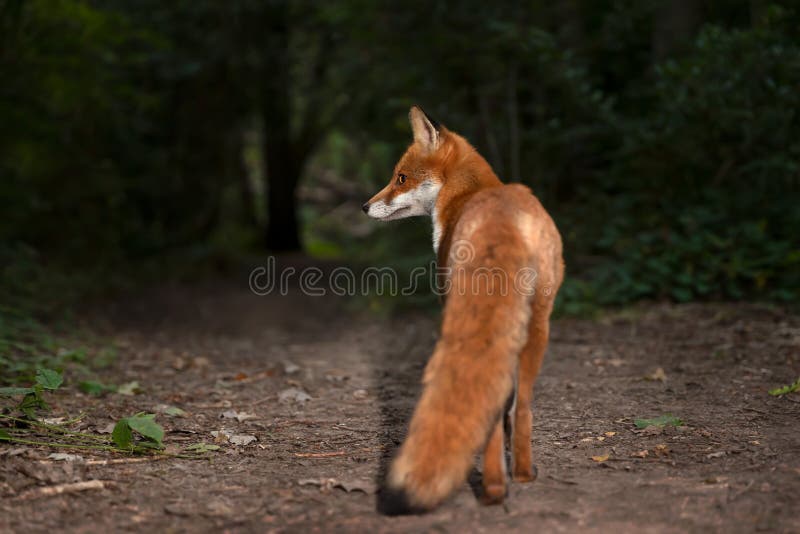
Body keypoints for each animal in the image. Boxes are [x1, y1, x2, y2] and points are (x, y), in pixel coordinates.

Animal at [362, 106, 564, 514]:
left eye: (400, 178)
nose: (364, 206)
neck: (469, 194)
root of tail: (505, 217)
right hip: (537, 327)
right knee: (520, 408)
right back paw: (522, 474)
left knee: (491, 410)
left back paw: (493, 490)